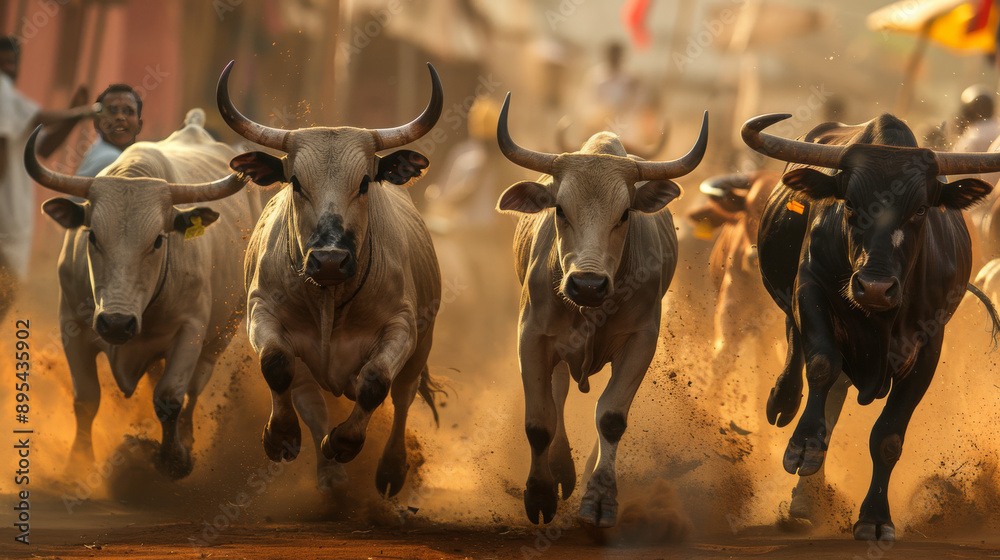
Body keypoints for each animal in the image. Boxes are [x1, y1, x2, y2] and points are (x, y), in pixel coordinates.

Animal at [25, 109, 255, 479]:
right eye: (92, 236)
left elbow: (170, 398)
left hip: (222, 335)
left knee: (194, 389)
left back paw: (187, 440)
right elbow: (86, 399)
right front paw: (77, 464)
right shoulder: (71, 325)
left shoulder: (191, 330)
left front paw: (173, 459)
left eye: (158, 240)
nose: (117, 323)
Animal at [216, 61, 444, 495]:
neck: (330, 297)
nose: (329, 260)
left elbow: (375, 382)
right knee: (310, 400)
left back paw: (391, 469)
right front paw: (281, 437)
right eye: (296, 182)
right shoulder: (262, 310)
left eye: (365, 182)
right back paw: (330, 475)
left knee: (402, 397)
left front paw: (345, 443)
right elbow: (276, 364)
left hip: (422, 347)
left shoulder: (403, 325)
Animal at [495, 93, 708, 527]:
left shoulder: (641, 341)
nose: (588, 285)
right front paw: (540, 493)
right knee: (558, 396)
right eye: (560, 209)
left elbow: (610, 418)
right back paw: (561, 471)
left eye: (624, 214)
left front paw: (599, 499)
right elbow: (539, 421)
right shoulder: (532, 338)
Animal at [742, 112, 1000, 541]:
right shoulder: (809, 288)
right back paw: (784, 402)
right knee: (800, 350)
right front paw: (803, 444)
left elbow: (888, 438)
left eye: (921, 209)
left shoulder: (929, 347)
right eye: (849, 203)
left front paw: (875, 518)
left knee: (836, 395)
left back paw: (807, 499)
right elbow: (821, 363)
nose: (875, 287)